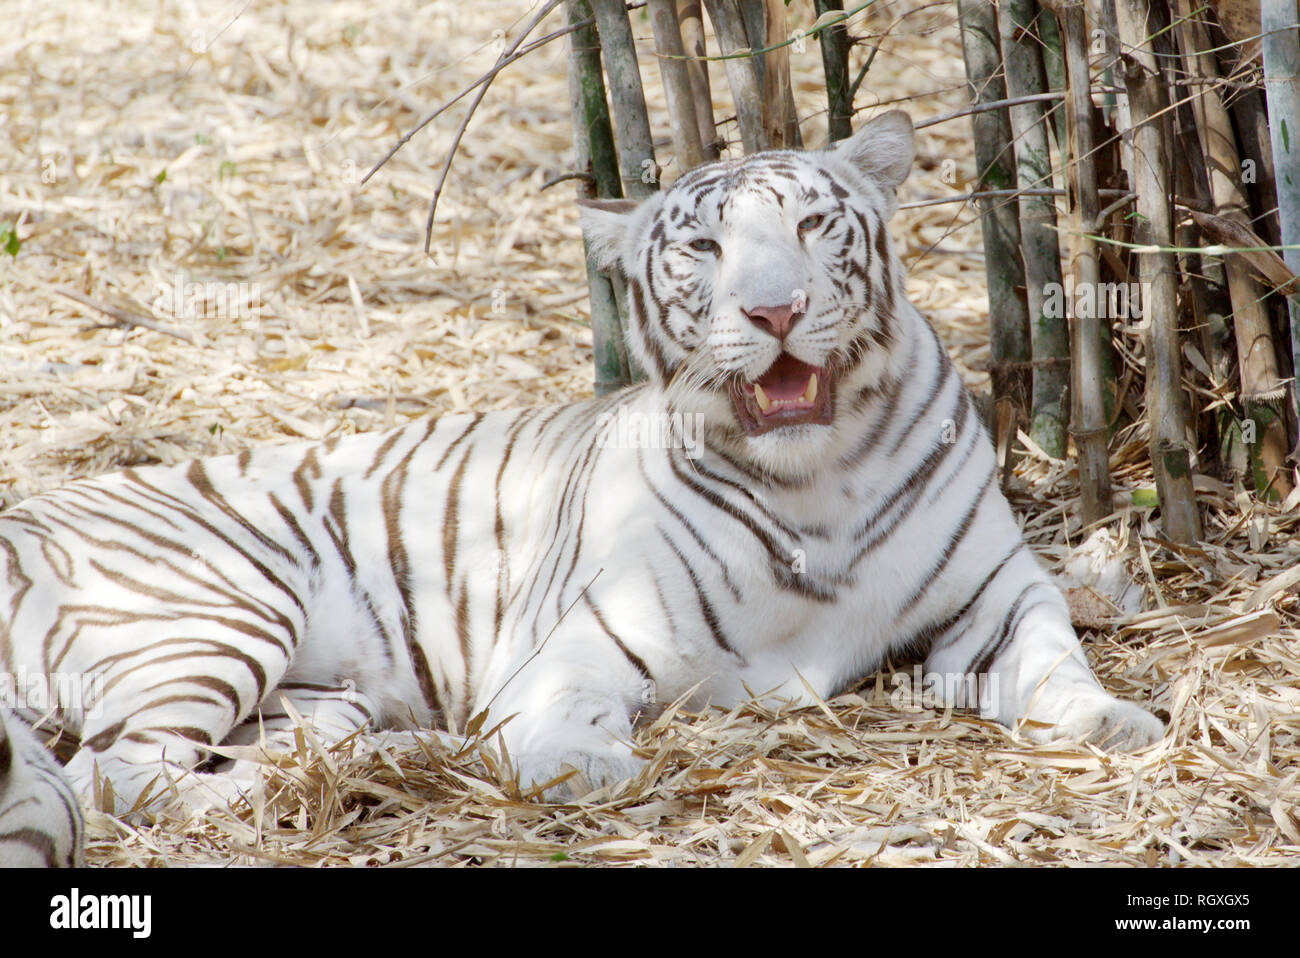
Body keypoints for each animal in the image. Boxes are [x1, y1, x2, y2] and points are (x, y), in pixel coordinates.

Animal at [0, 109, 1163, 825]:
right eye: (702, 249)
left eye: (811, 223)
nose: (775, 311)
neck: (816, 480)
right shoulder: (585, 639)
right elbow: (563, 717)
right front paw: (581, 766)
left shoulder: (997, 594)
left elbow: (1057, 657)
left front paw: (1113, 720)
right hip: (214, 618)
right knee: (109, 778)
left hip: (309, 695)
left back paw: (379, 764)